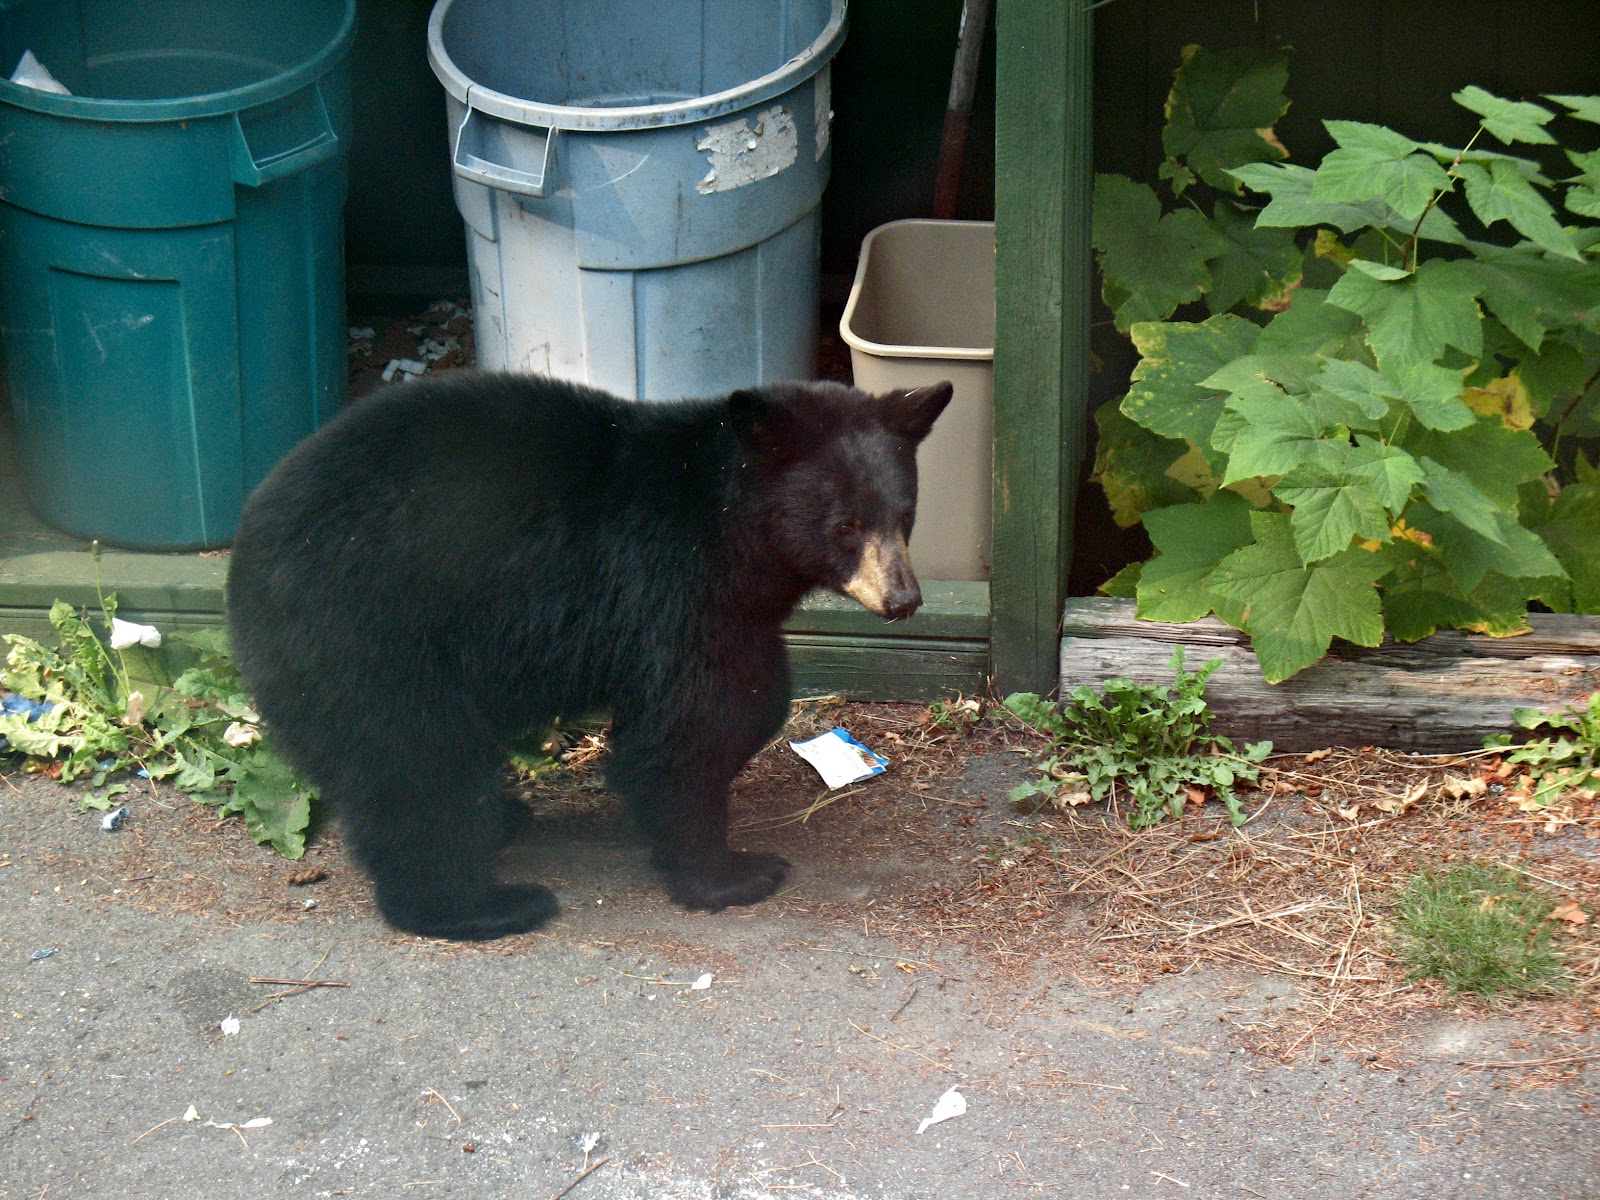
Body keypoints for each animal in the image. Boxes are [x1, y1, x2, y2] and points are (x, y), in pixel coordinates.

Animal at [225, 371, 952, 941]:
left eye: (905, 515)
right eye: (846, 524)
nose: (904, 599)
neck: (727, 517)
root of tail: (248, 547)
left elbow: (752, 696)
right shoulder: (667, 582)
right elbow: (690, 722)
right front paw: (728, 872)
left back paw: (499, 820)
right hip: (370, 629)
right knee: (412, 761)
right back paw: (478, 904)